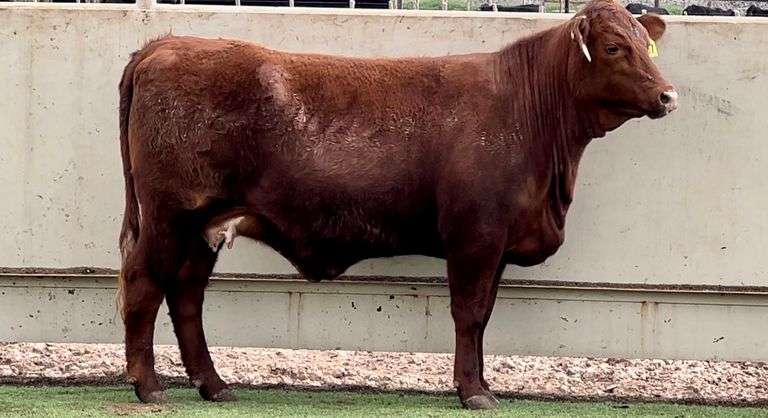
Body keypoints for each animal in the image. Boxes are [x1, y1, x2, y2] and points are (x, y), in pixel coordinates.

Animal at [117, 0, 676, 409]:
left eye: (646, 44)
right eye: (614, 46)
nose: (668, 95)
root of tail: (166, 45)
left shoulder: (495, 245)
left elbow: (484, 314)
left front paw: (477, 384)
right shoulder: (476, 236)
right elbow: (470, 312)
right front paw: (473, 392)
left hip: (203, 227)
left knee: (187, 295)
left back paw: (213, 385)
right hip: (169, 217)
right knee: (144, 286)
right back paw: (149, 387)